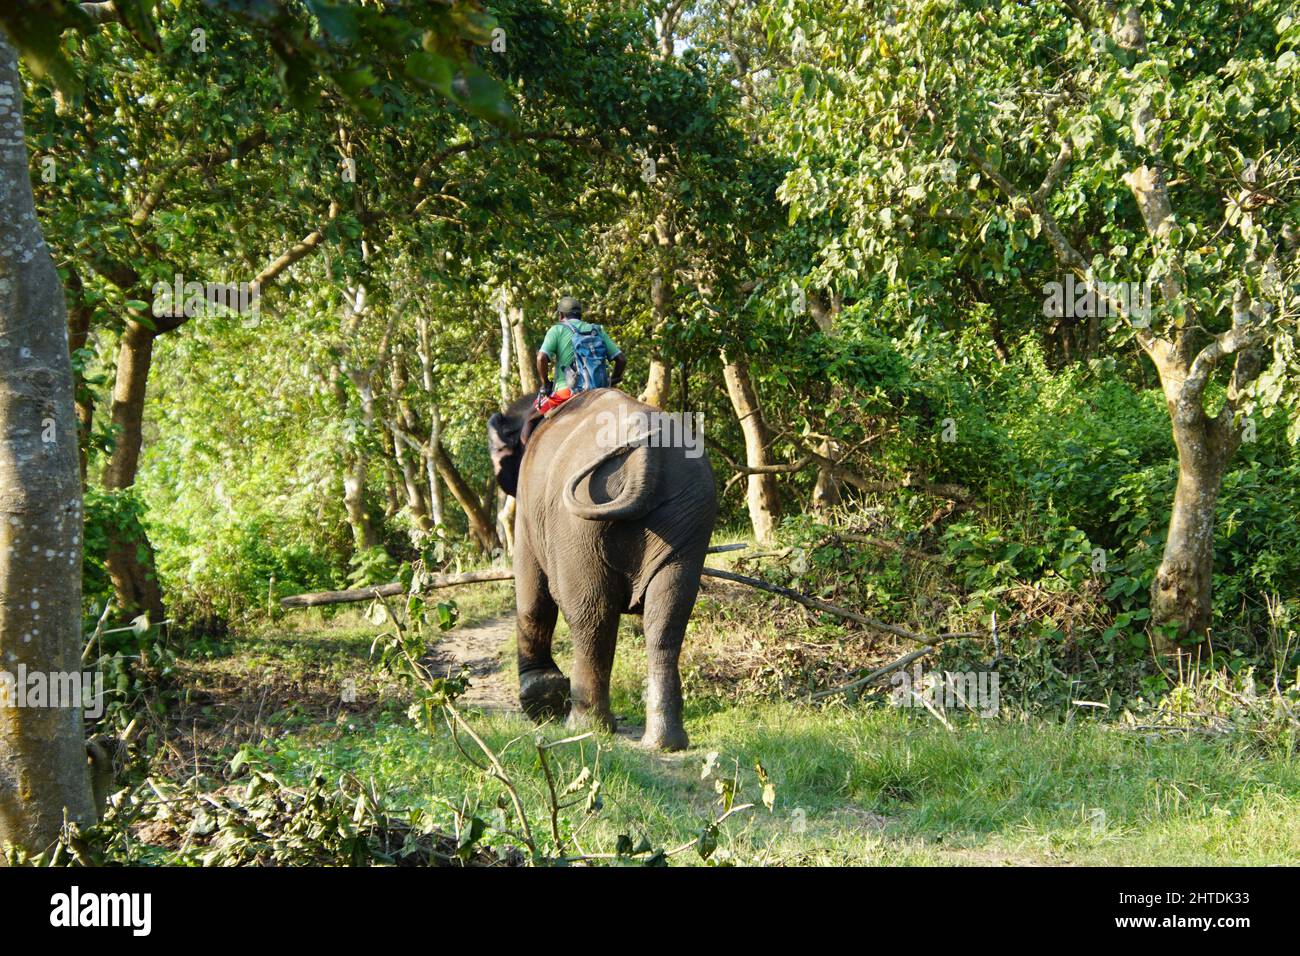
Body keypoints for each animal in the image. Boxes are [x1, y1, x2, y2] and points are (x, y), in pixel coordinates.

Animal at [487, 387, 717, 751]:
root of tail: (644, 459)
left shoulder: (527, 503)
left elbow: (530, 585)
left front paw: (541, 700)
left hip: (576, 528)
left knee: (590, 615)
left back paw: (584, 725)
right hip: (688, 514)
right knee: (668, 616)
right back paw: (664, 742)